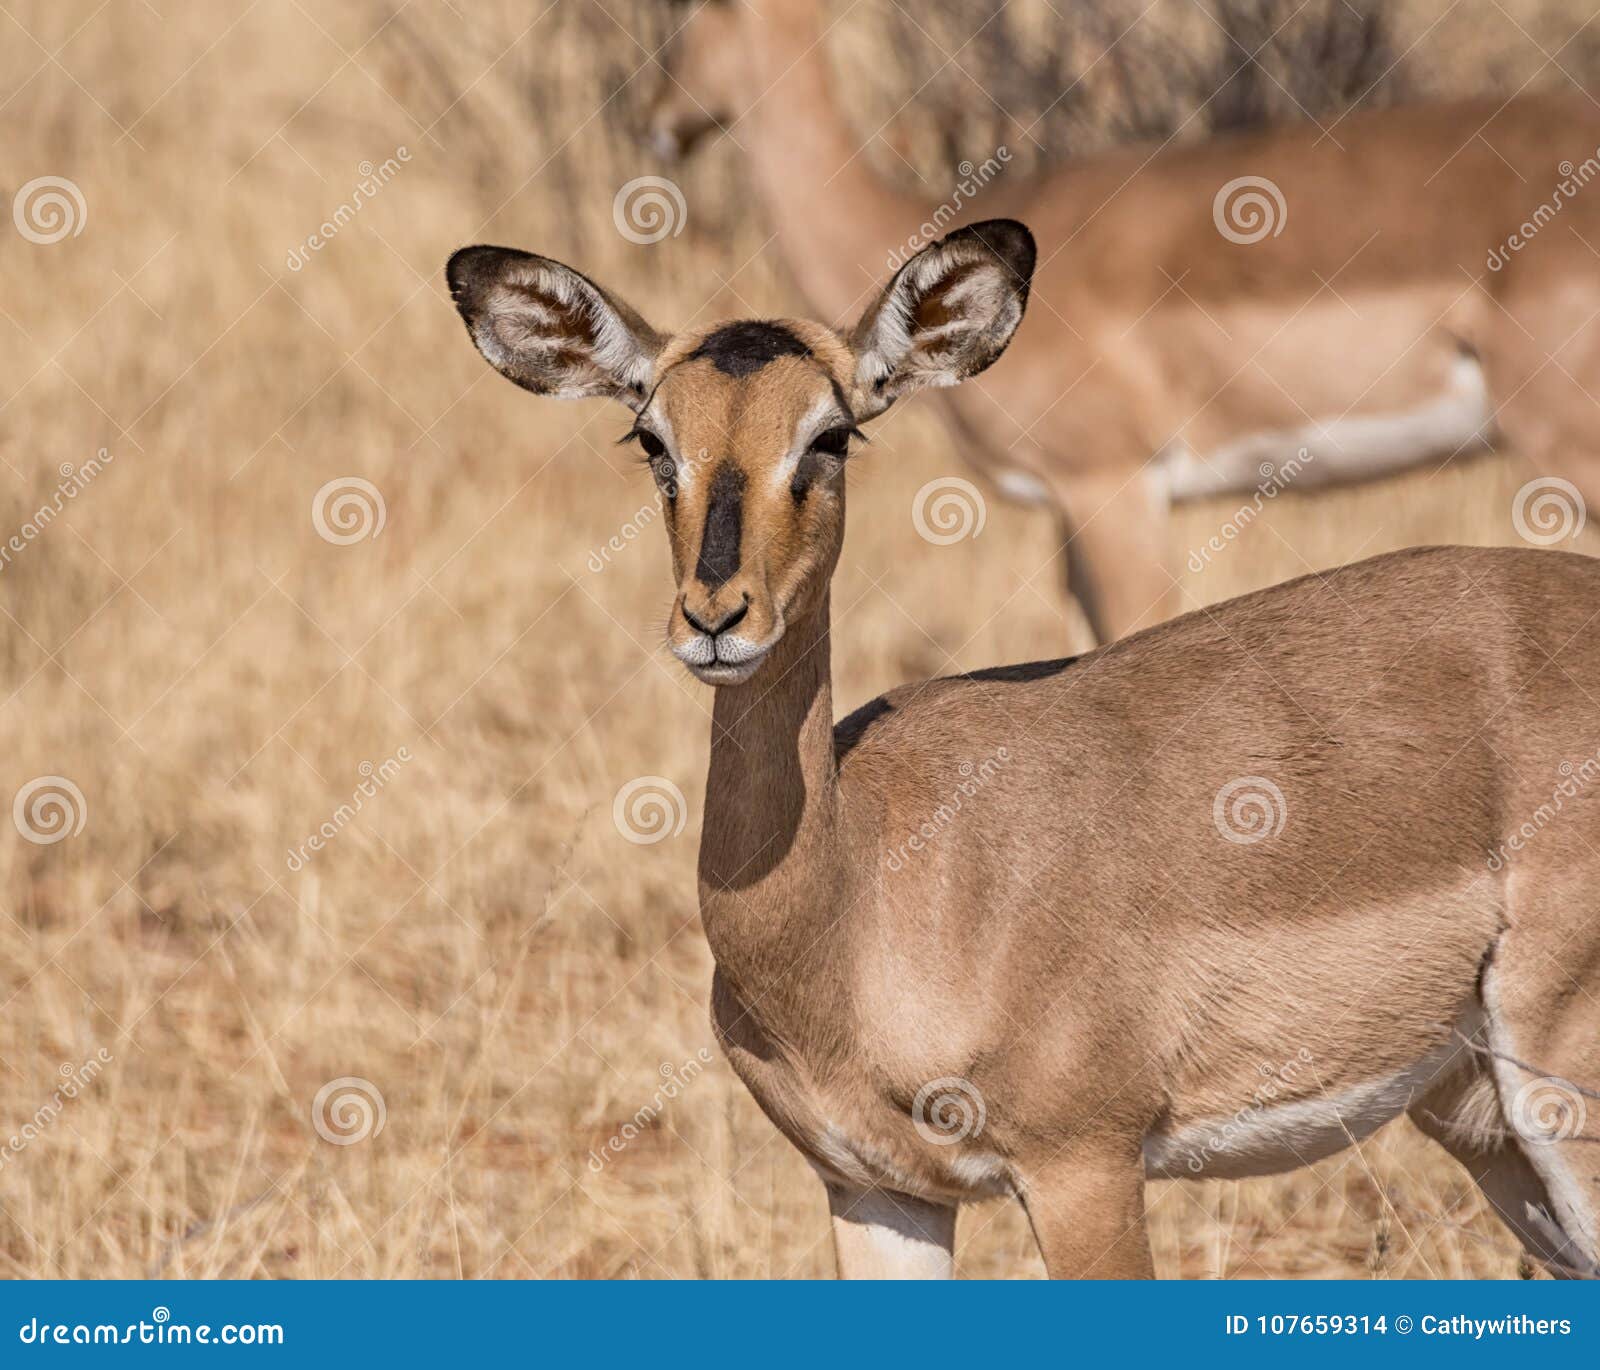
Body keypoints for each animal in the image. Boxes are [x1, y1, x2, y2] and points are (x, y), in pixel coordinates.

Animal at [447, 220, 1600, 1280]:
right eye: (650, 439)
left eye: (831, 436)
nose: (717, 616)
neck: (862, 893)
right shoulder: (877, 1190)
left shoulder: (1083, 1165)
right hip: (1482, 1126)